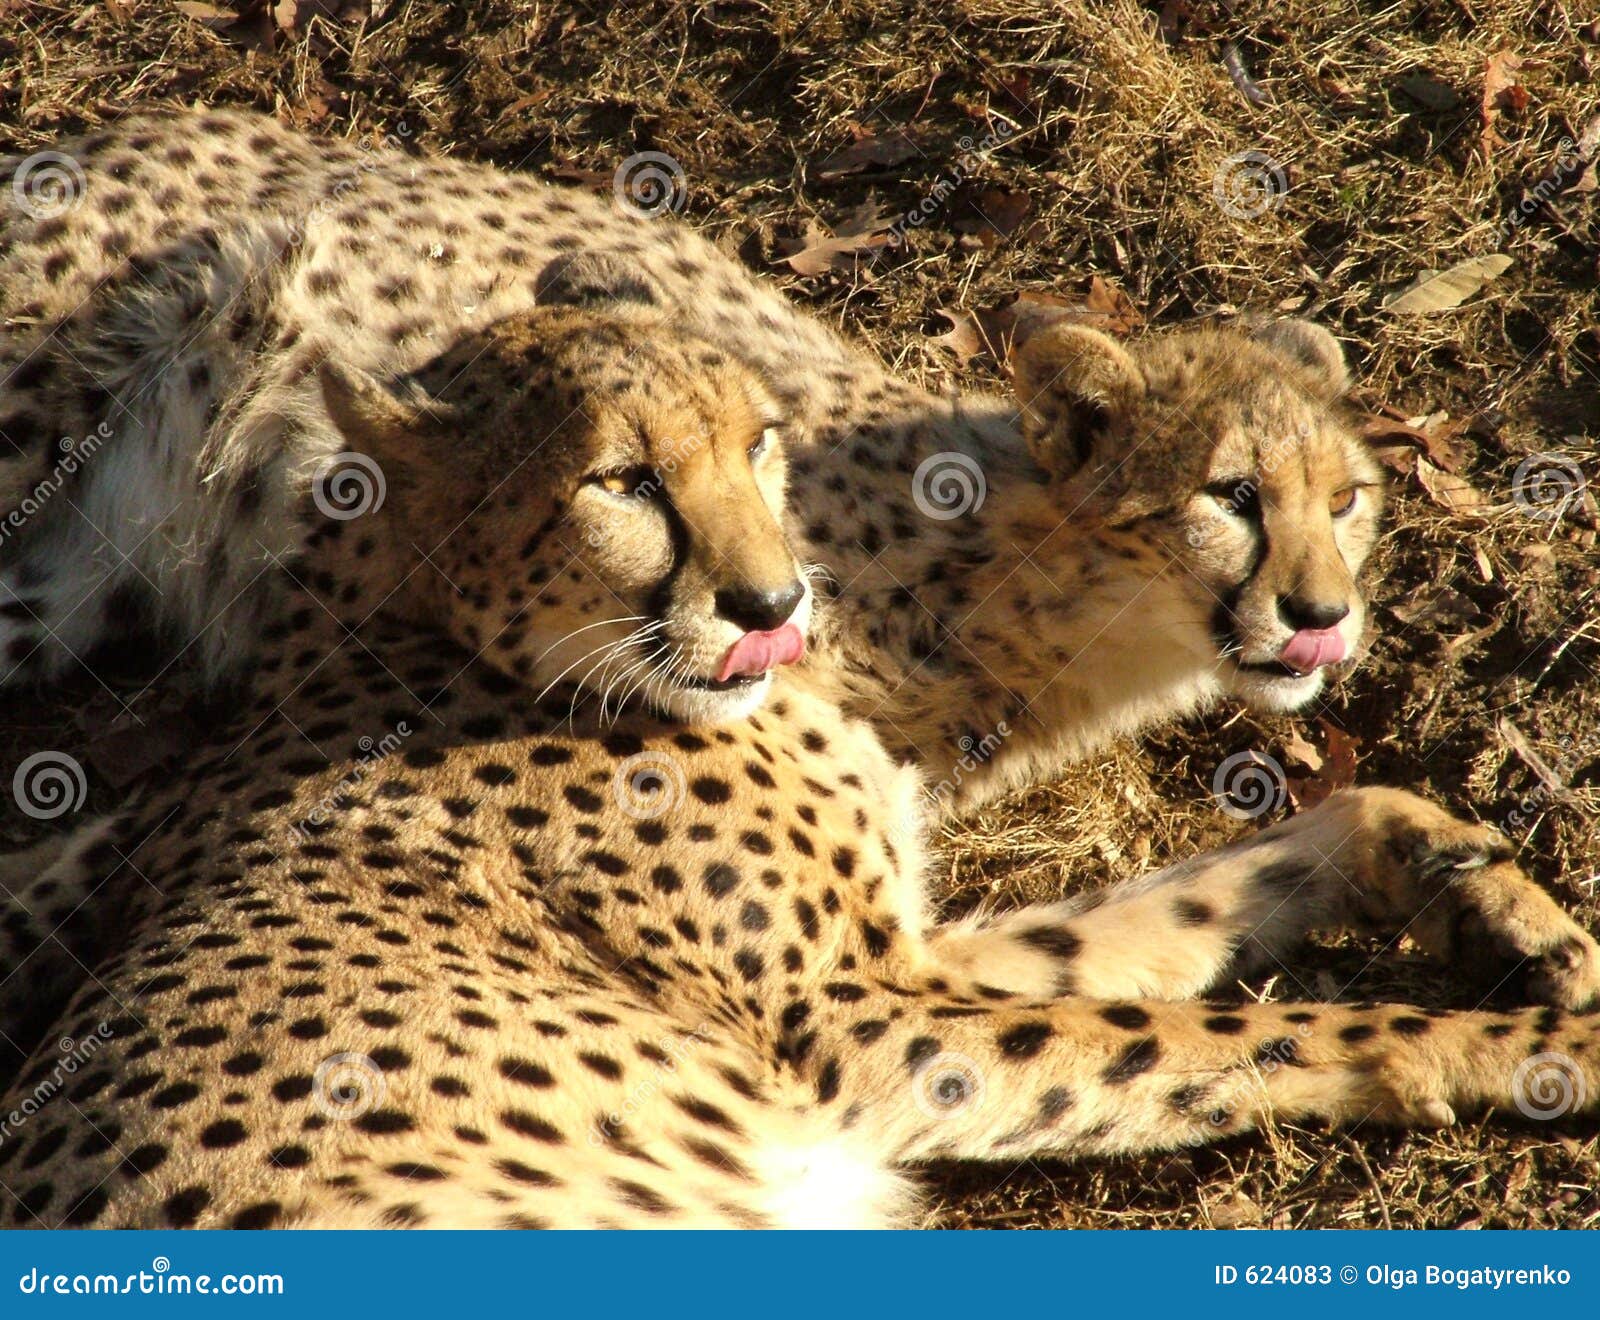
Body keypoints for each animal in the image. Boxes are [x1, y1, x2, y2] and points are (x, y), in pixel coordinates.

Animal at [0, 316, 1596, 1229]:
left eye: (757, 445)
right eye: (623, 481)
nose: (773, 601)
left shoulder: (899, 955)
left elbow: (1209, 904)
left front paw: (1491, 897)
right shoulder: (852, 1026)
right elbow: (1221, 1037)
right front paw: (1523, 1052)